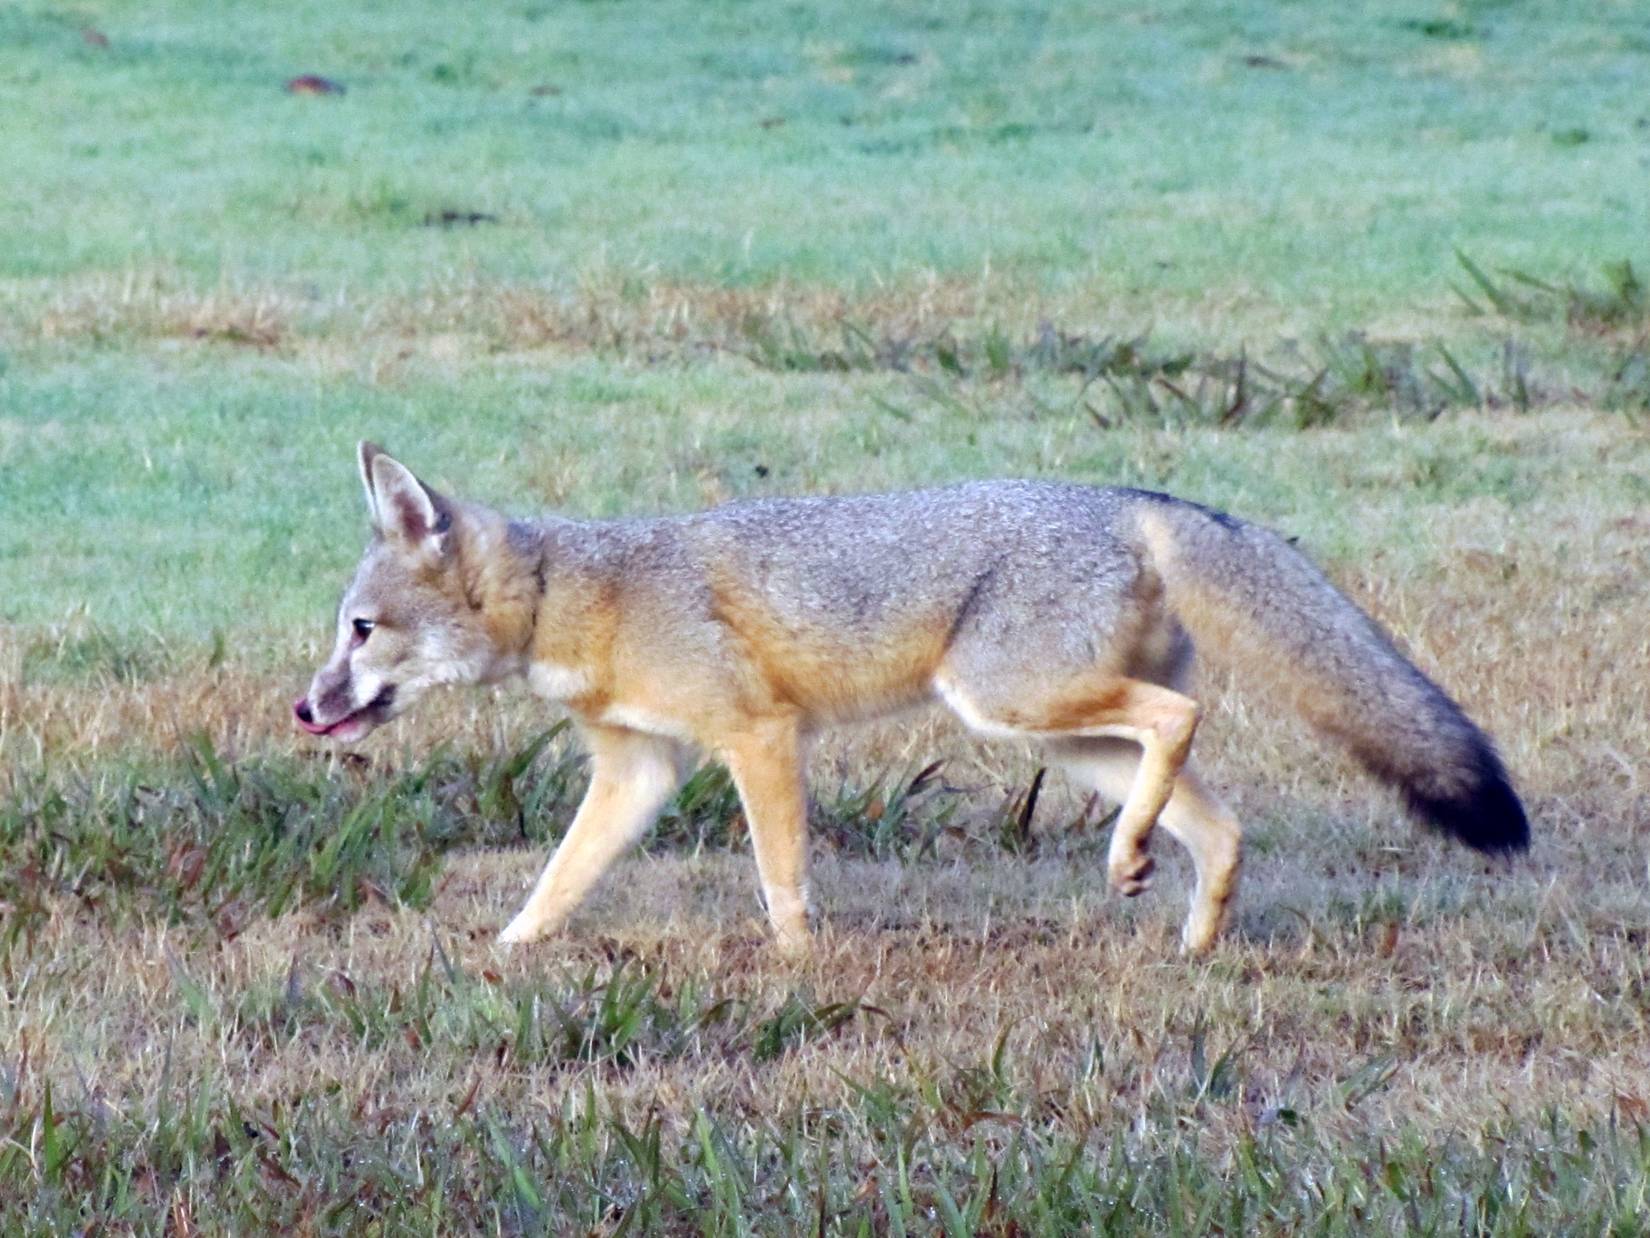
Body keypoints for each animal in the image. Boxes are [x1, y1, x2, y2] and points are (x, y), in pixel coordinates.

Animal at [296, 443, 1529, 956]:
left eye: (360, 631)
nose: (306, 712)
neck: (578, 593)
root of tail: (1129, 494)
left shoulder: (759, 738)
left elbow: (780, 876)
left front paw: (799, 967)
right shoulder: (640, 768)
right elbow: (557, 882)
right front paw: (504, 953)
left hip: (1012, 703)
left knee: (1181, 721)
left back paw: (1136, 864)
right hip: (1060, 737)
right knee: (1216, 822)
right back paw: (1182, 926)